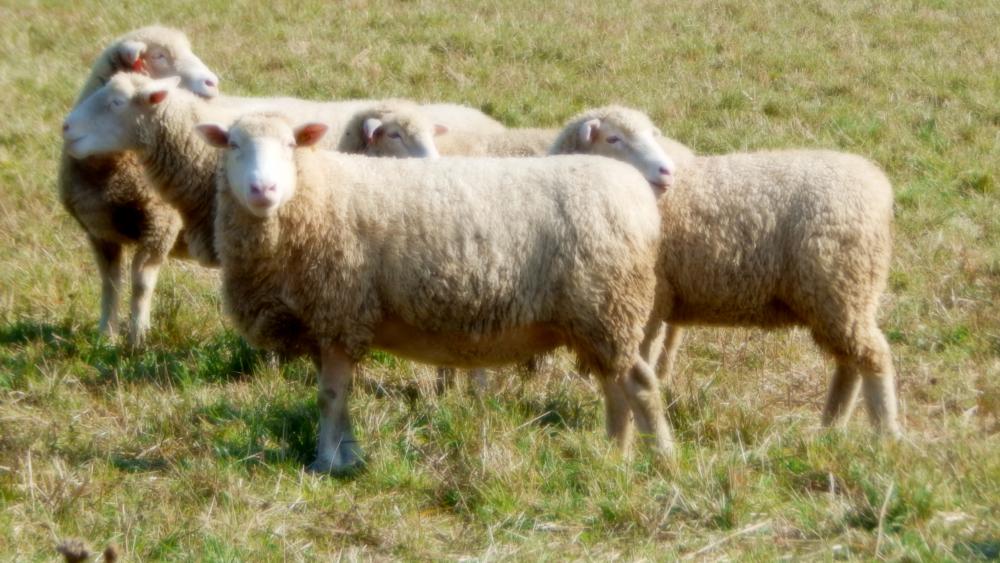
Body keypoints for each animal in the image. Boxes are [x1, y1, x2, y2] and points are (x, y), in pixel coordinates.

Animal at [58, 26, 220, 346]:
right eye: (158, 56)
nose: (212, 83)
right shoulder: (99, 232)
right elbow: (111, 283)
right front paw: (106, 335)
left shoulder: (160, 227)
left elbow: (141, 283)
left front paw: (138, 337)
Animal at [196, 112, 672, 473]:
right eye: (233, 144)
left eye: (291, 146)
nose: (263, 189)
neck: (315, 197)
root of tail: (637, 196)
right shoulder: (325, 323)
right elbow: (336, 395)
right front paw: (347, 455)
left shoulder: (341, 311)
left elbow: (329, 397)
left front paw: (326, 463)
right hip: (597, 320)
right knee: (614, 385)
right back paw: (614, 455)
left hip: (607, 307)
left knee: (639, 384)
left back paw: (661, 458)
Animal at [551, 106, 901, 436]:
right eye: (613, 139)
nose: (667, 171)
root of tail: (878, 184)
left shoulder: (649, 301)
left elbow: (643, 361)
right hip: (840, 298)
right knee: (849, 363)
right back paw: (831, 428)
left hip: (841, 287)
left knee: (873, 357)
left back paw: (885, 433)